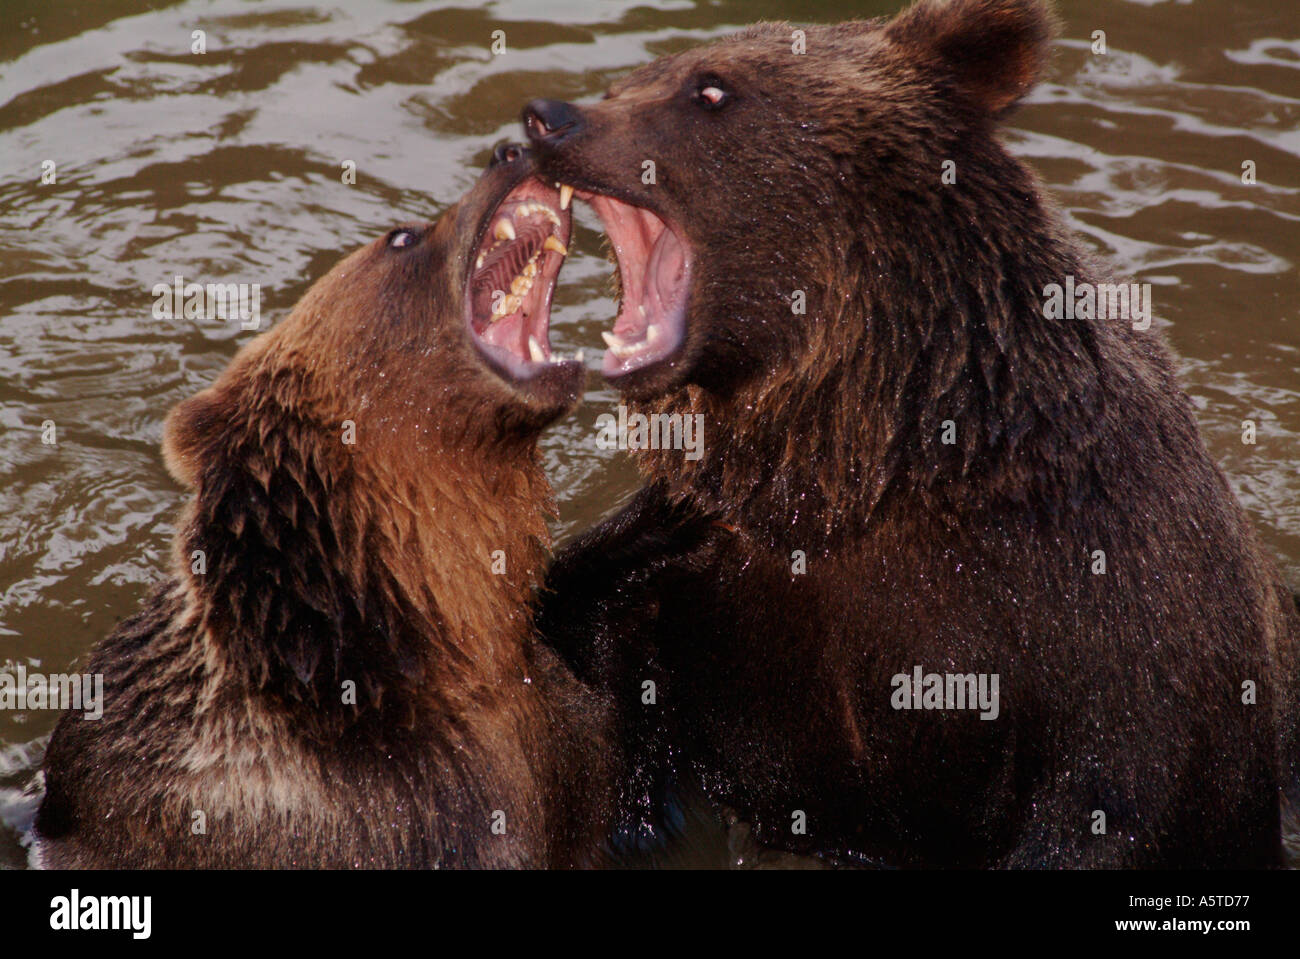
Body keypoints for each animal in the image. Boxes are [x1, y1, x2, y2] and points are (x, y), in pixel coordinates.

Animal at [521, 0, 1300, 867]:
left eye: (712, 89)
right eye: (635, 77)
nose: (546, 117)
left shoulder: (1118, 626)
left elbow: (1116, 798)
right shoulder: (701, 583)